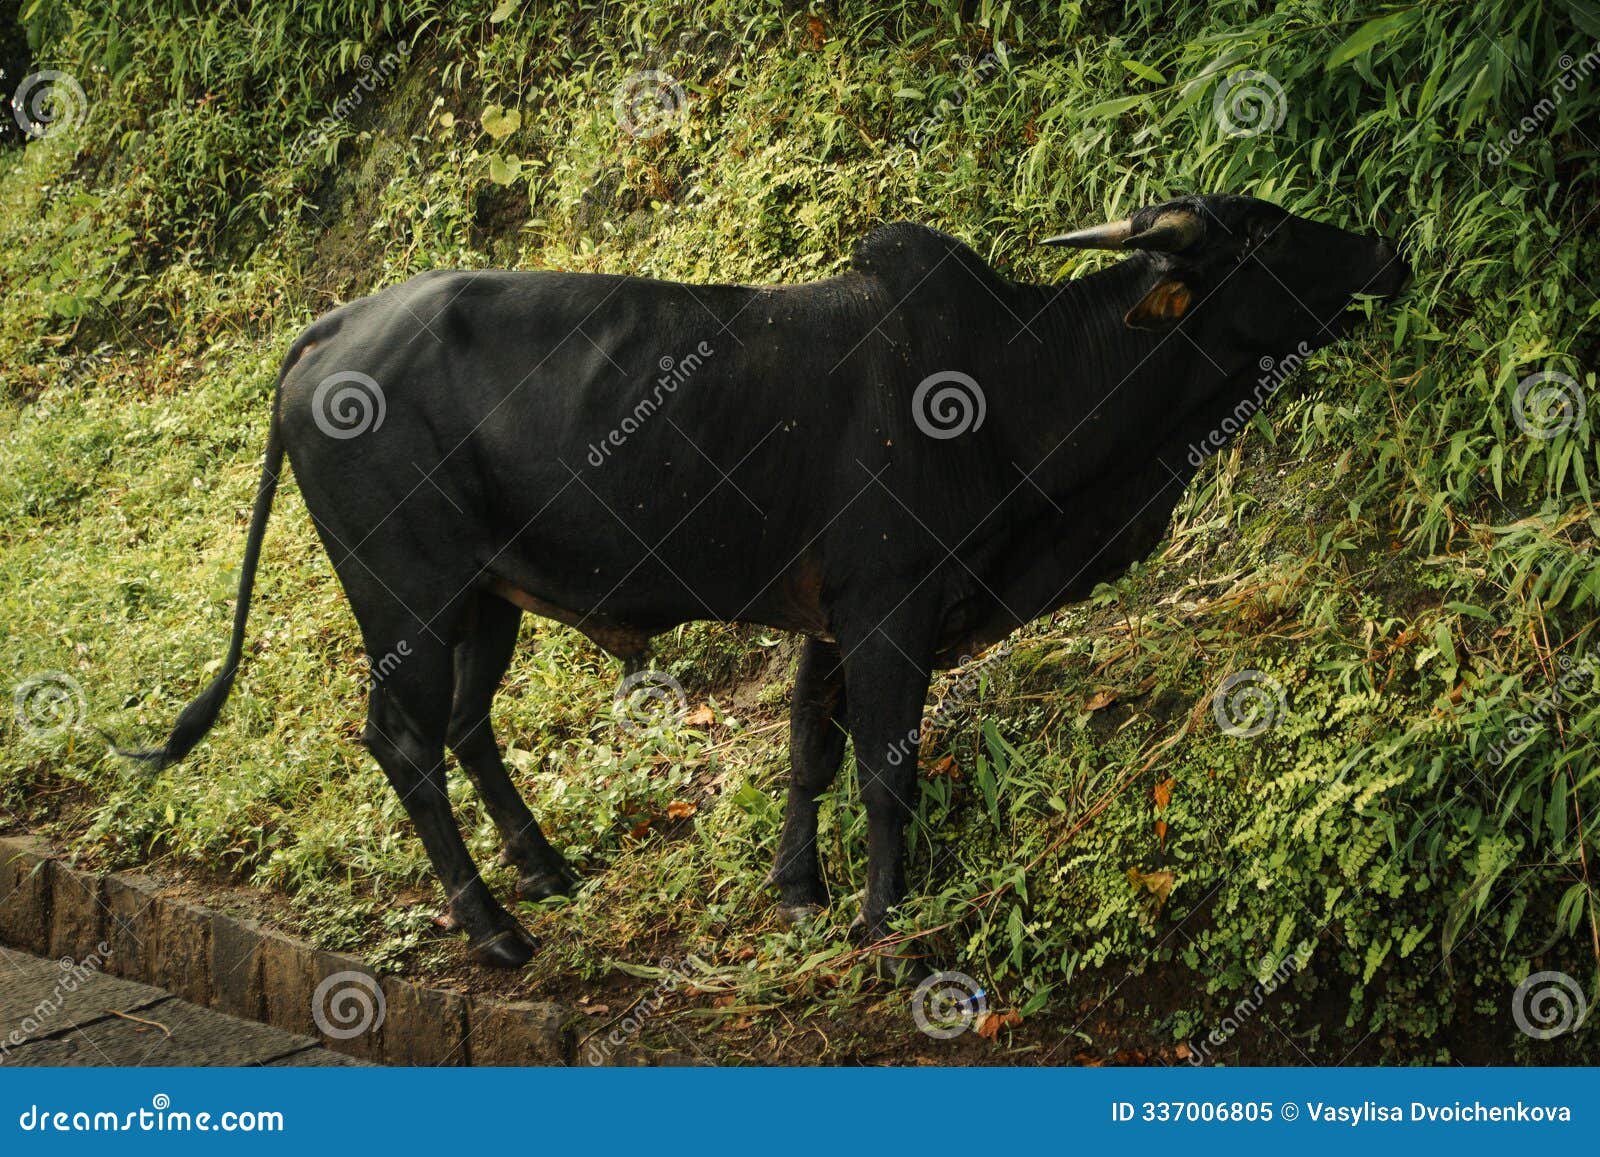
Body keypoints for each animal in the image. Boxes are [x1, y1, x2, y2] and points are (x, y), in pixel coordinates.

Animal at [130, 193, 1409, 969]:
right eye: (1258, 236)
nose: (1390, 253)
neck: (1020, 378)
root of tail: (334, 325)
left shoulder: (829, 617)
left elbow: (808, 748)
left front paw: (798, 888)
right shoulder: (890, 603)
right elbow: (883, 769)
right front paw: (885, 918)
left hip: (489, 598)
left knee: (464, 725)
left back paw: (545, 868)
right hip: (408, 594)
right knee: (400, 737)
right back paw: (492, 926)